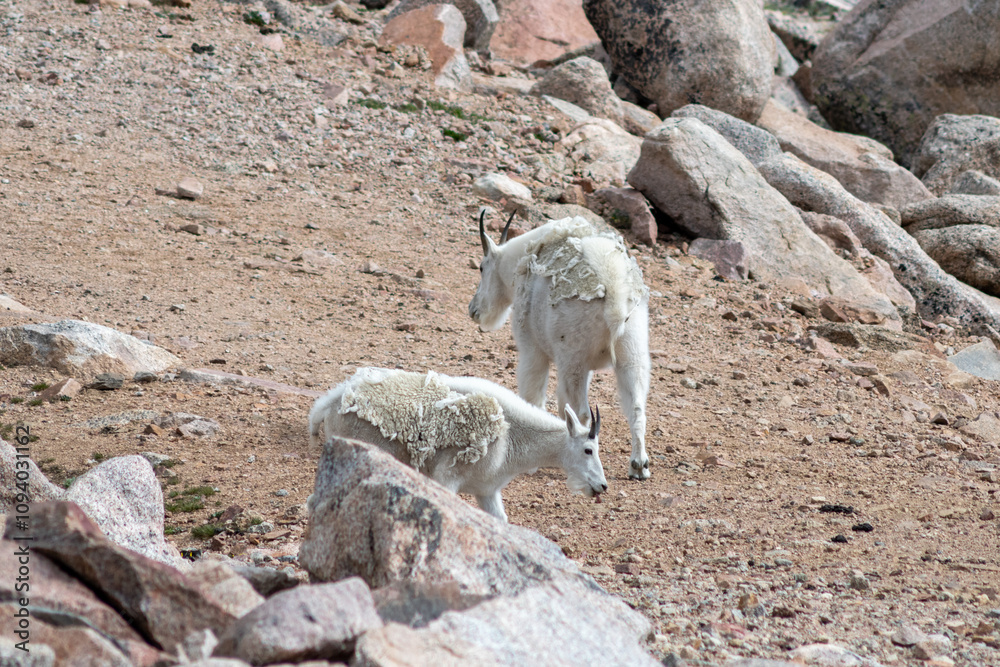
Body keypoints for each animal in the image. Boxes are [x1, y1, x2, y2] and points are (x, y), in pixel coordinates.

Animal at [308, 367, 607, 522]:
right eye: (588, 450)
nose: (602, 486)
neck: (512, 436)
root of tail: (332, 402)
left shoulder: (487, 491)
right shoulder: (447, 477)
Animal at [468, 213, 652, 480]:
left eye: (482, 268)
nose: (473, 310)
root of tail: (614, 295)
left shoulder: (532, 351)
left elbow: (533, 396)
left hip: (572, 357)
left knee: (583, 411)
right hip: (632, 350)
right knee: (636, 408)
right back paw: (639, 465)